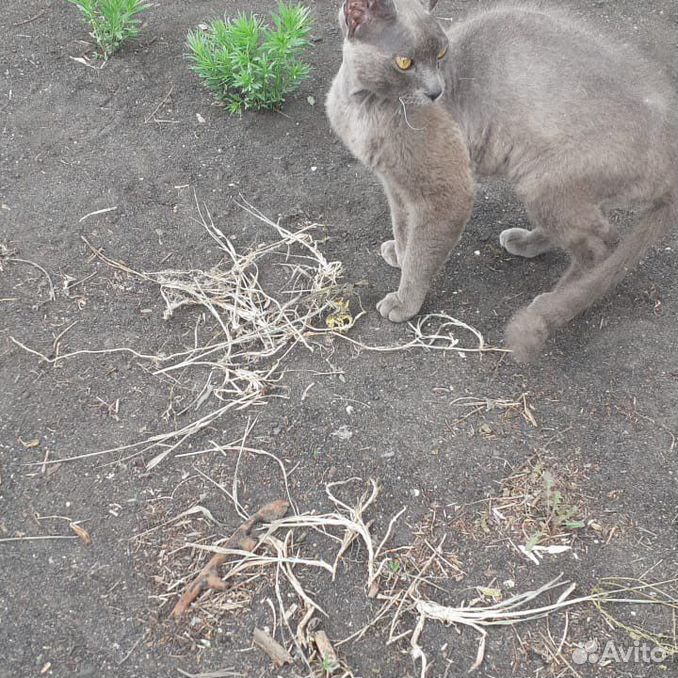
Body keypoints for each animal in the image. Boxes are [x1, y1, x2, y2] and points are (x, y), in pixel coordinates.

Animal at [326, 0, 676, 364]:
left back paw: (554, 298)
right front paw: (399, 252)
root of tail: (670, 154)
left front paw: (404, 301)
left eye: (442, 53)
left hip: (545, 181)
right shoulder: (395, 184)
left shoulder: (446, 191)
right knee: (592, 228)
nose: (436, 92)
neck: (365, 106)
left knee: (601, 244)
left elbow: (423, 253)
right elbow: (403, 227)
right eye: (405, 62)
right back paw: (525, 242)